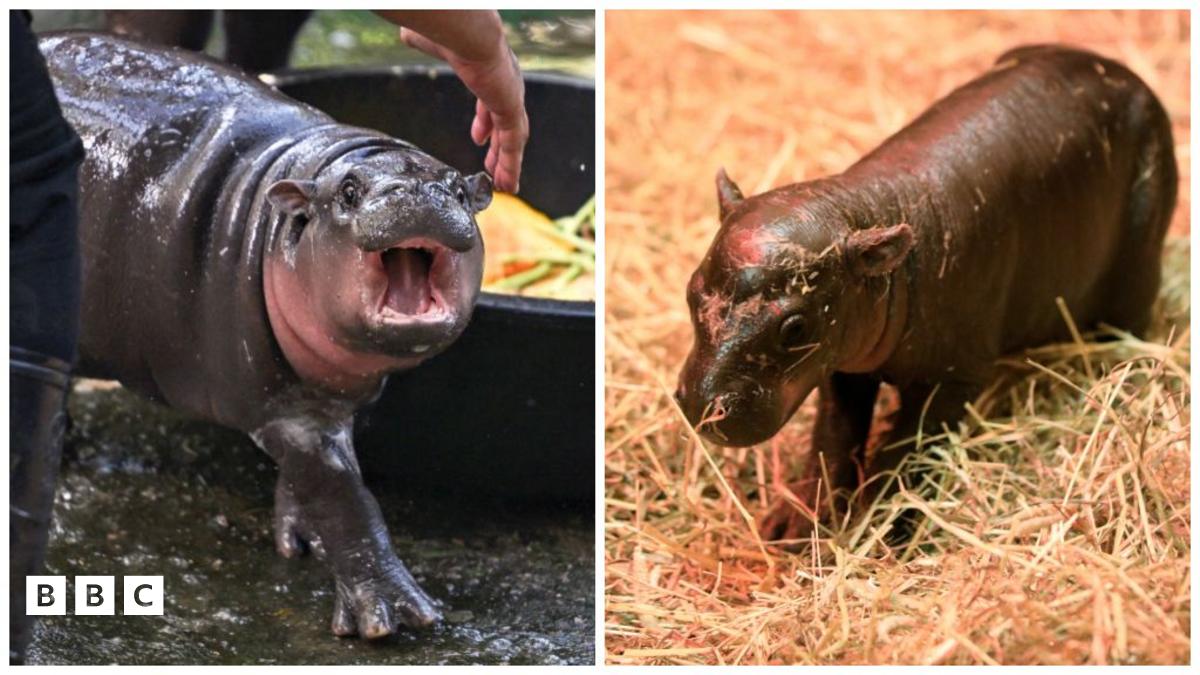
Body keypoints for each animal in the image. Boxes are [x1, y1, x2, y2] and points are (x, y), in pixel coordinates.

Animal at [40, 33, 493, 637]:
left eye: (459, 191)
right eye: (350, 192)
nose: (416, 194)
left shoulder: (333, 401)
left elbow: (318, 478)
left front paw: (299, 541)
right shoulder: (284, 412)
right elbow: (344, 498)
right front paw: (389, 618)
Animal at [676, 45, 1176, 542]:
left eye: (795, 327)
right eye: (691, 291)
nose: (701, 404)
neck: (865, 214)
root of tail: (1119, 70)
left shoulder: (954, 378)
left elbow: (903, 451)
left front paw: (878, 532)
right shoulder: (844, 364)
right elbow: (833, 439)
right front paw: (791, 528)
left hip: (1136, 268)